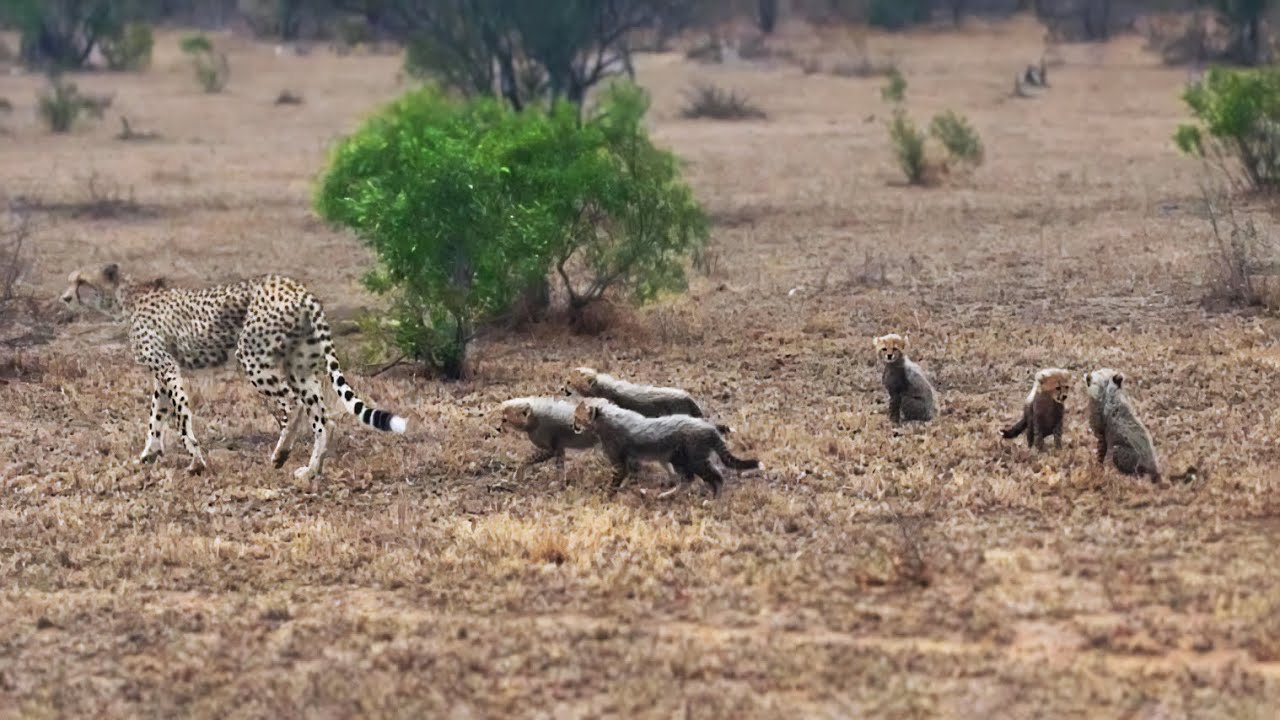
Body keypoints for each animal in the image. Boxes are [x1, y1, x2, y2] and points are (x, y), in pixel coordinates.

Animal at [60, 263, 407, 482]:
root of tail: (295, 286)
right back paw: (310, 471)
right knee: (324, 418)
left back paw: (281, 454)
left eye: (81, 282)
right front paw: (149, 453)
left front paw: (195, 462)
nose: (64, 297)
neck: (127, 297)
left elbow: (181, 419)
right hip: (299, 367)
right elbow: (155, 417)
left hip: (251, 356)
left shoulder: (168, 369)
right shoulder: (161, 375)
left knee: (291, 405)